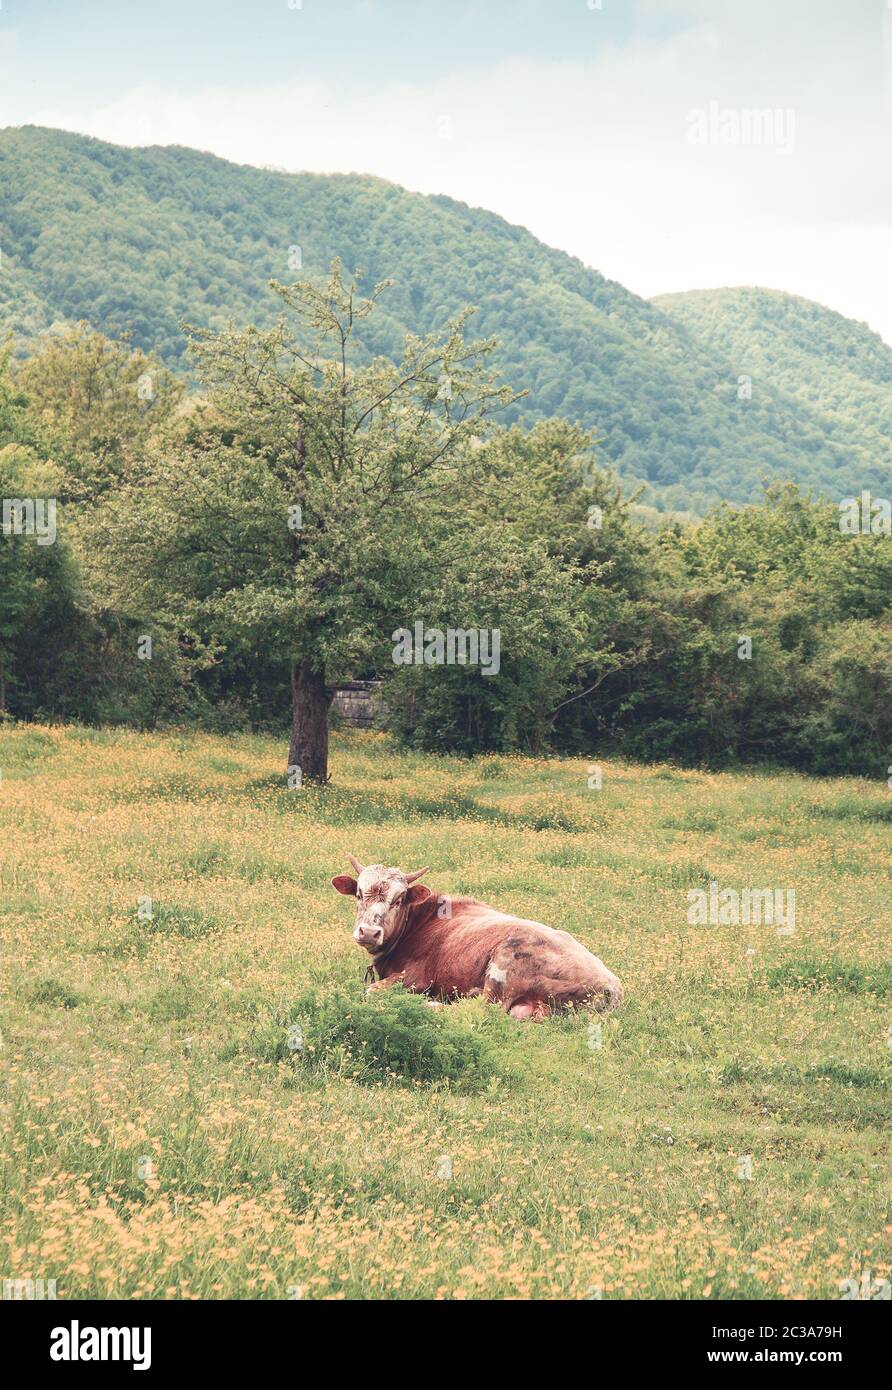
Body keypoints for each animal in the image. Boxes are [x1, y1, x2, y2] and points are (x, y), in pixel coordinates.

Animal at [331, 854, 624, 1020]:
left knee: (483, 1007)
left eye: (398, 899)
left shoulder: (415, 977)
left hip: (505, 963)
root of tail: (612, 986)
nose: (369, 932)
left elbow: (369, 991)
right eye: (358, 893)